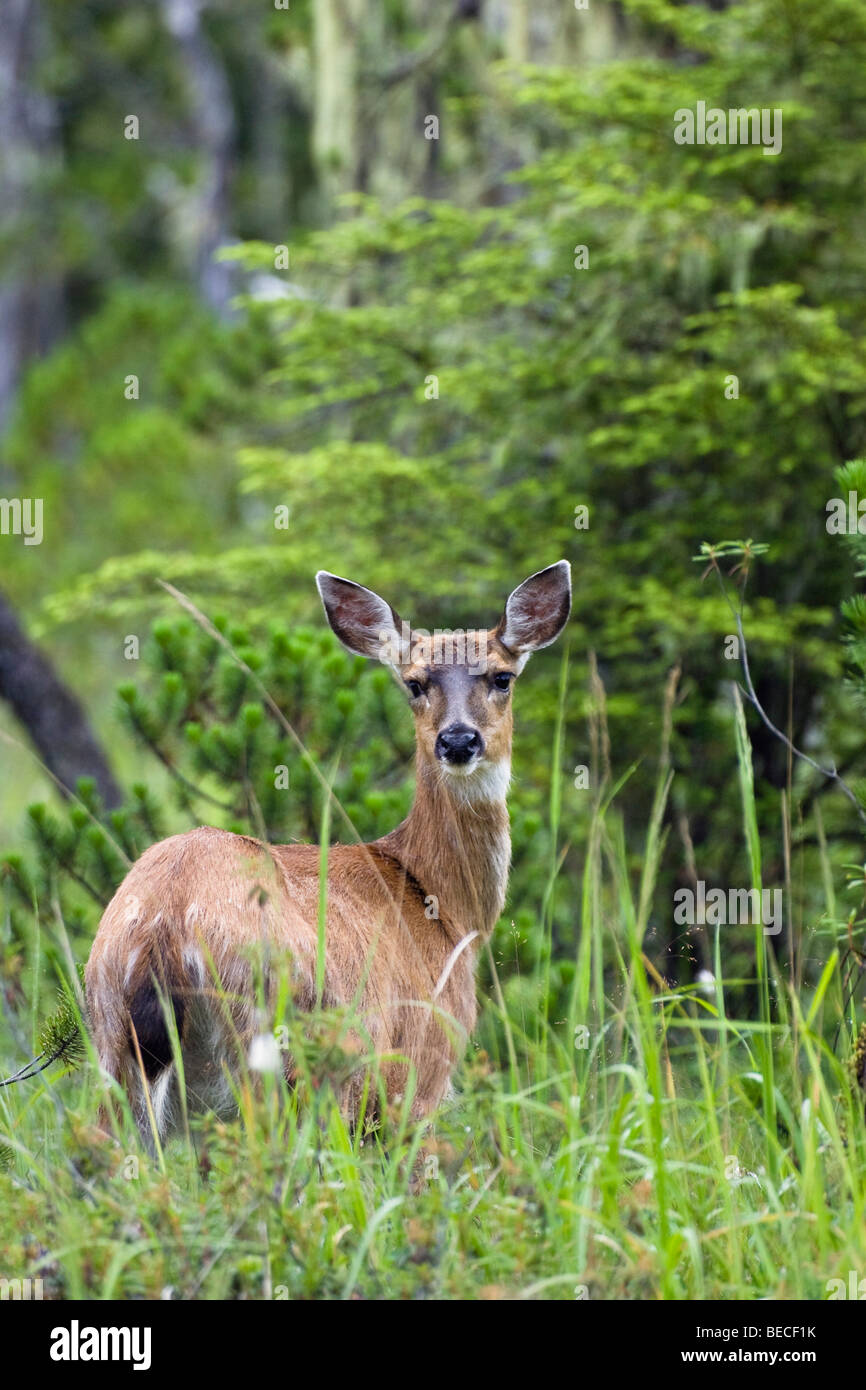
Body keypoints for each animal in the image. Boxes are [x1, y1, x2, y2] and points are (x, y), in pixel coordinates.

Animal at [85, 561, 571, 1150]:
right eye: (414, 683)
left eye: (502, 677)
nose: (458, 741)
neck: (442, 906)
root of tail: (164, 923)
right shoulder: (420, 1068)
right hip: (276, 1051)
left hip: (116, 1049)